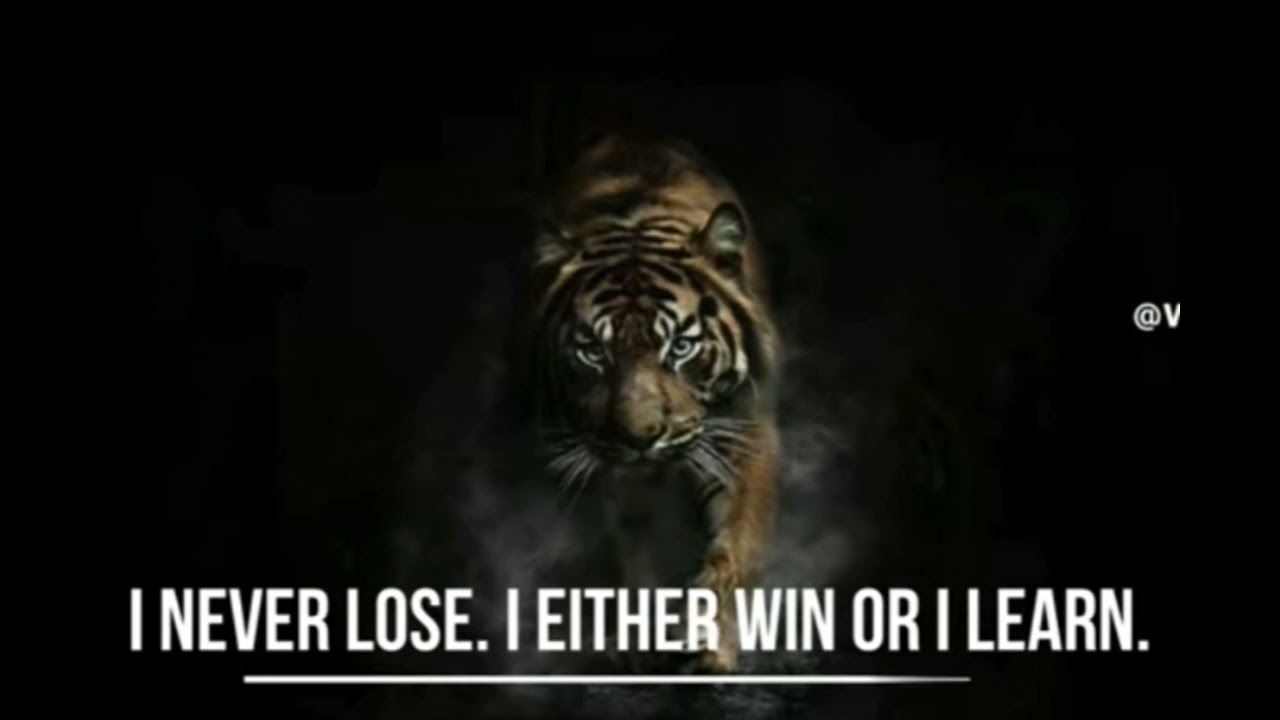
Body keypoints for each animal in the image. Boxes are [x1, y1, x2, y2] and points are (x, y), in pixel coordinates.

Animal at [527, 132, 781, 673]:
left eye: (681, 347)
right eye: (593, 351)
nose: (641, 437)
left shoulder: (744, 432)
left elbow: (734, 544)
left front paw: (711, 643)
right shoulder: (617, 462)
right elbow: (634, 544)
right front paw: (639, 638)